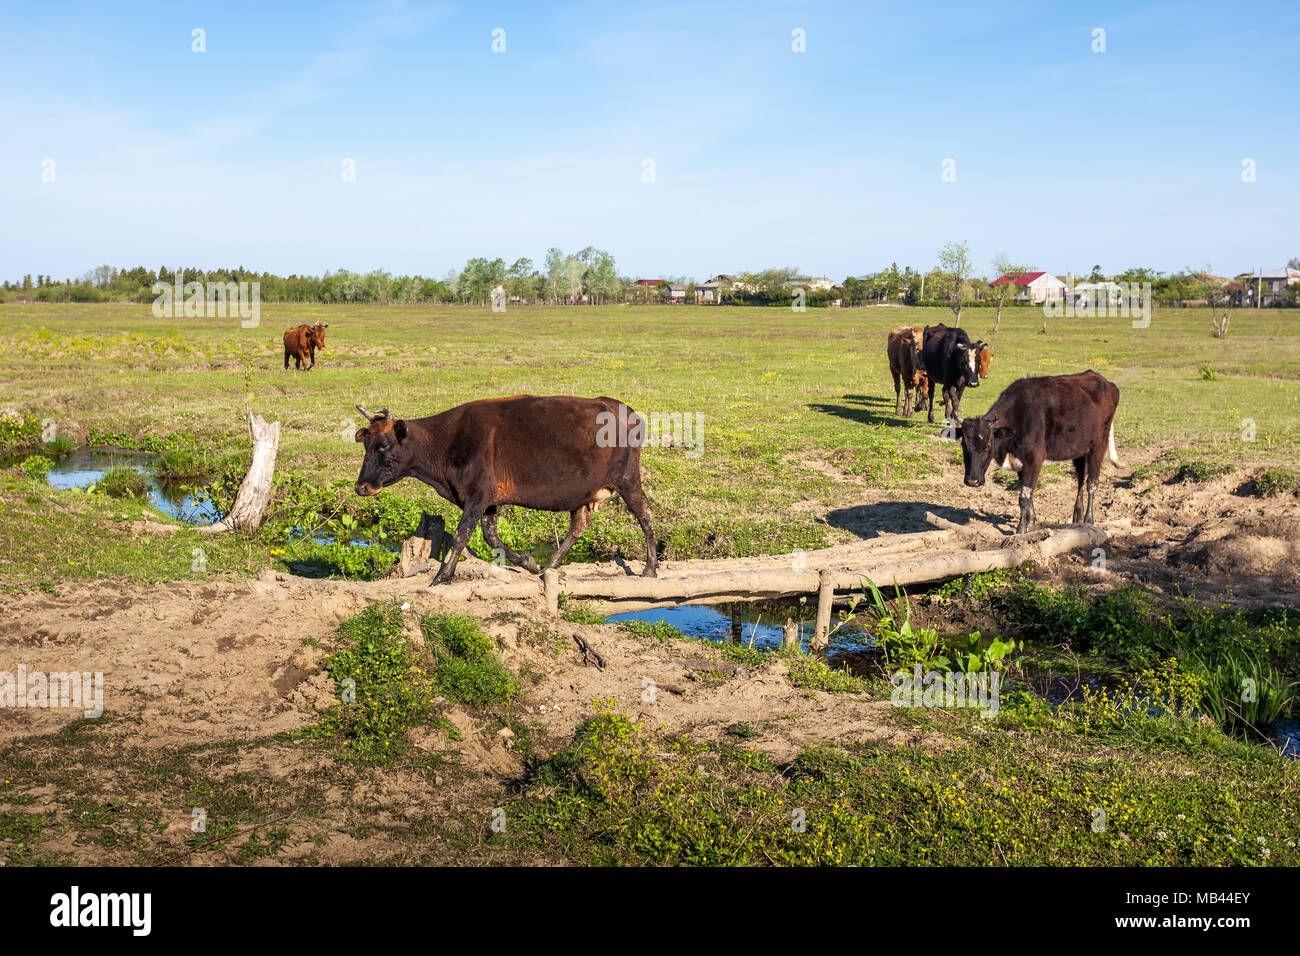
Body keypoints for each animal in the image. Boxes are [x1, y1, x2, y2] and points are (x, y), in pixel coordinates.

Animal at [352, 396, 658, 585]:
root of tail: (621, 407)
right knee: (579, 525)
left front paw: (442, 576)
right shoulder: (488, 501)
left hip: (628, 479)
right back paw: (549, 566)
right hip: (582, 494)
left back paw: (650, 568)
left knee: (645, 515)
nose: (361, 487)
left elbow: (462, 535)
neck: (446, 441)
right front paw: (529, 562)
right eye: (366, 446)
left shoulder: (477, 496)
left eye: (384, 446)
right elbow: (491, 538)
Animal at [954, 370, 1120, 534]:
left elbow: (1024, 497)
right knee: (1080, 480)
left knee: (1091, 483)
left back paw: (1088, 519)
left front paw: (1021, 529)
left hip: (1098, 445)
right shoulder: (1022, 462)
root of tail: (1105, 381)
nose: (972, 481)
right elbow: (1028, 493)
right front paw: (1031, 523)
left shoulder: (1034, 459)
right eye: (963, 445)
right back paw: (1077, 516)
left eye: (988, 445)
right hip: (1079, 450)